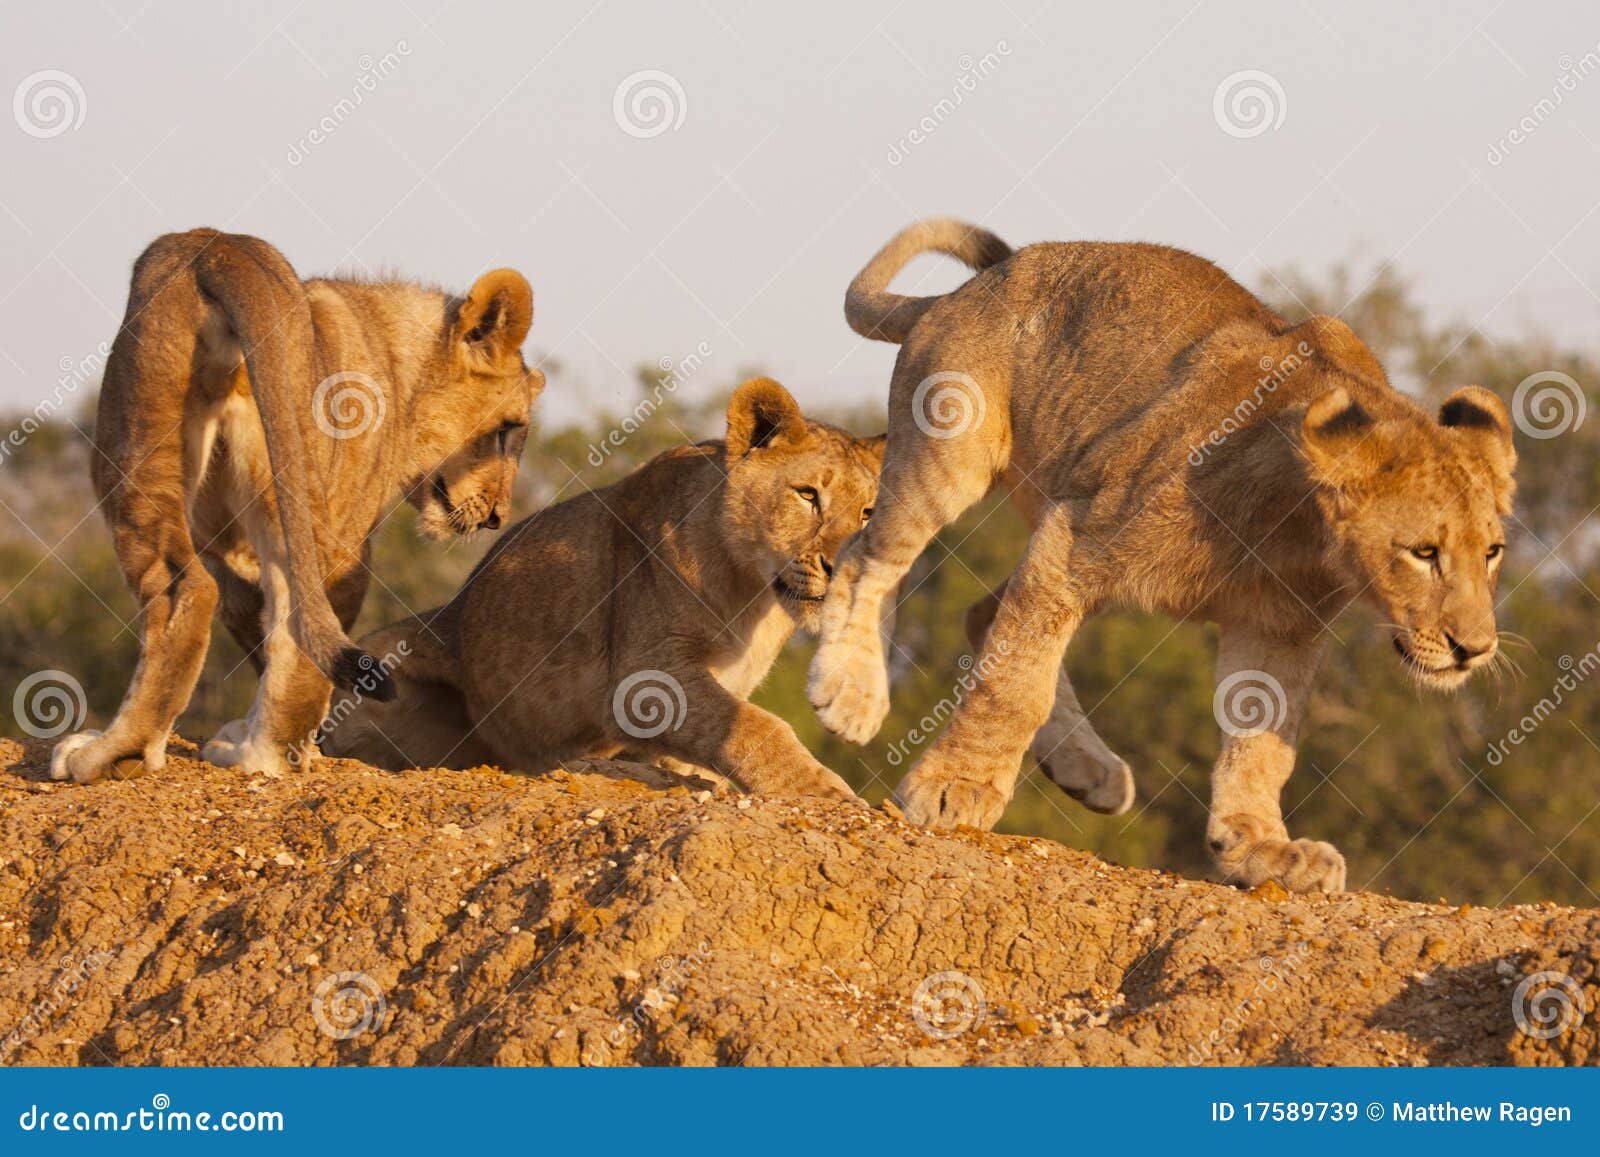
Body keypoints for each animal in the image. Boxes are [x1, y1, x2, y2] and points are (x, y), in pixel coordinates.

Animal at [50, 228, 540, 784]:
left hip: (127, 444)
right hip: (295, 485)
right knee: (294, 613)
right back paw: (262, 753)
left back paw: (115, 754)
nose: (498, 517)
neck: (399, 362)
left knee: (185, 591)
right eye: (507, 430)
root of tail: (220, 247)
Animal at [320, 377, 881, 802]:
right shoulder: (644, 677)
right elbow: (756, 726)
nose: (842, 568)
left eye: (868, 512)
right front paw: (822, 789)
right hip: (379, 664)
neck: (753, 593)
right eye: (807, 495)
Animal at [808, 219, 1516, 893]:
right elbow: (1014, 684)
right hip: (951, 452)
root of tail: (959, 294)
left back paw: (1089, 770)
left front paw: (1260, 848)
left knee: (985, 613)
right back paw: (852, 690)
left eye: (1492, 553)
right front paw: (955, 787)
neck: (1298, 535)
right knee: (868, 555)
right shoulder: (1078, 538)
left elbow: (1263, 744)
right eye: (1423, 552)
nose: (1474, 649)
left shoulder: (1280, 628)